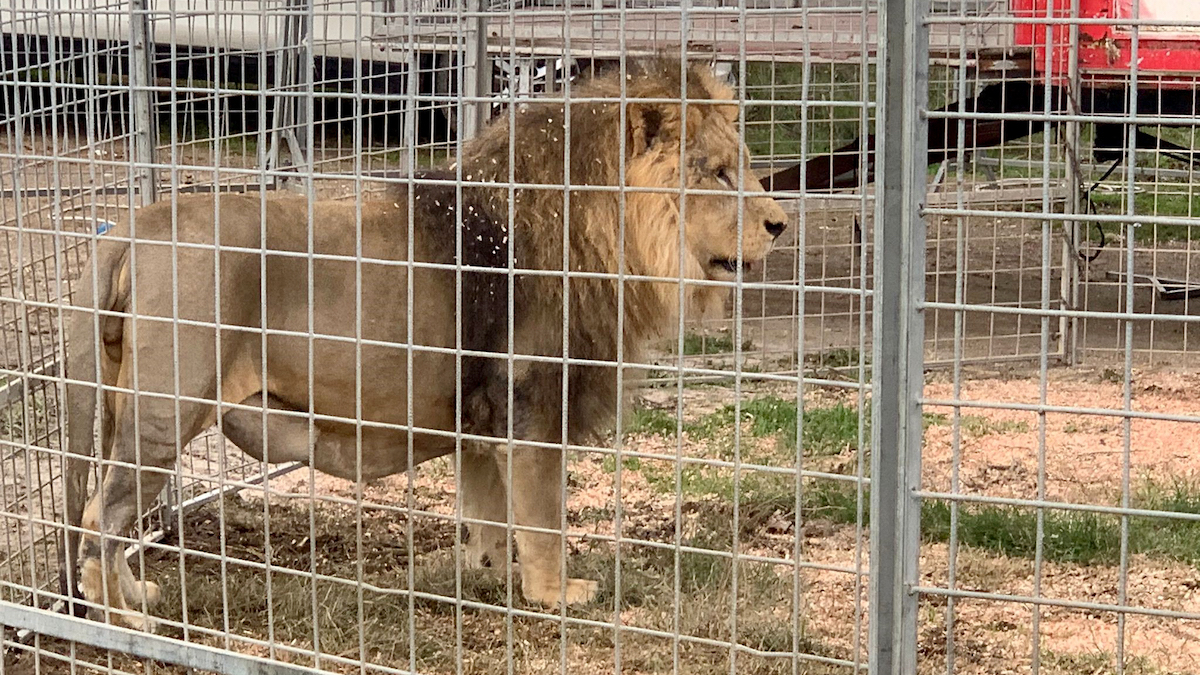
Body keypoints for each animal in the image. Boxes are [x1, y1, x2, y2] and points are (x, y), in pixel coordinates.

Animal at [61, 57, 788, 629]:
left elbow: (490, 511)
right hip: (164, 412)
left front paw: (491, 576)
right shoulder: (532, 405)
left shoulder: (481, 419)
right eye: (718, 173)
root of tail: (133, 226)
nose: (781, 225)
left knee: (109, 517)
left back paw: (136, 596)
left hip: (128, 405)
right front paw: (557, 594)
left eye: (747, 168)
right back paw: (122, 619)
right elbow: (544, 518)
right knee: (101, 514)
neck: (602, 231)